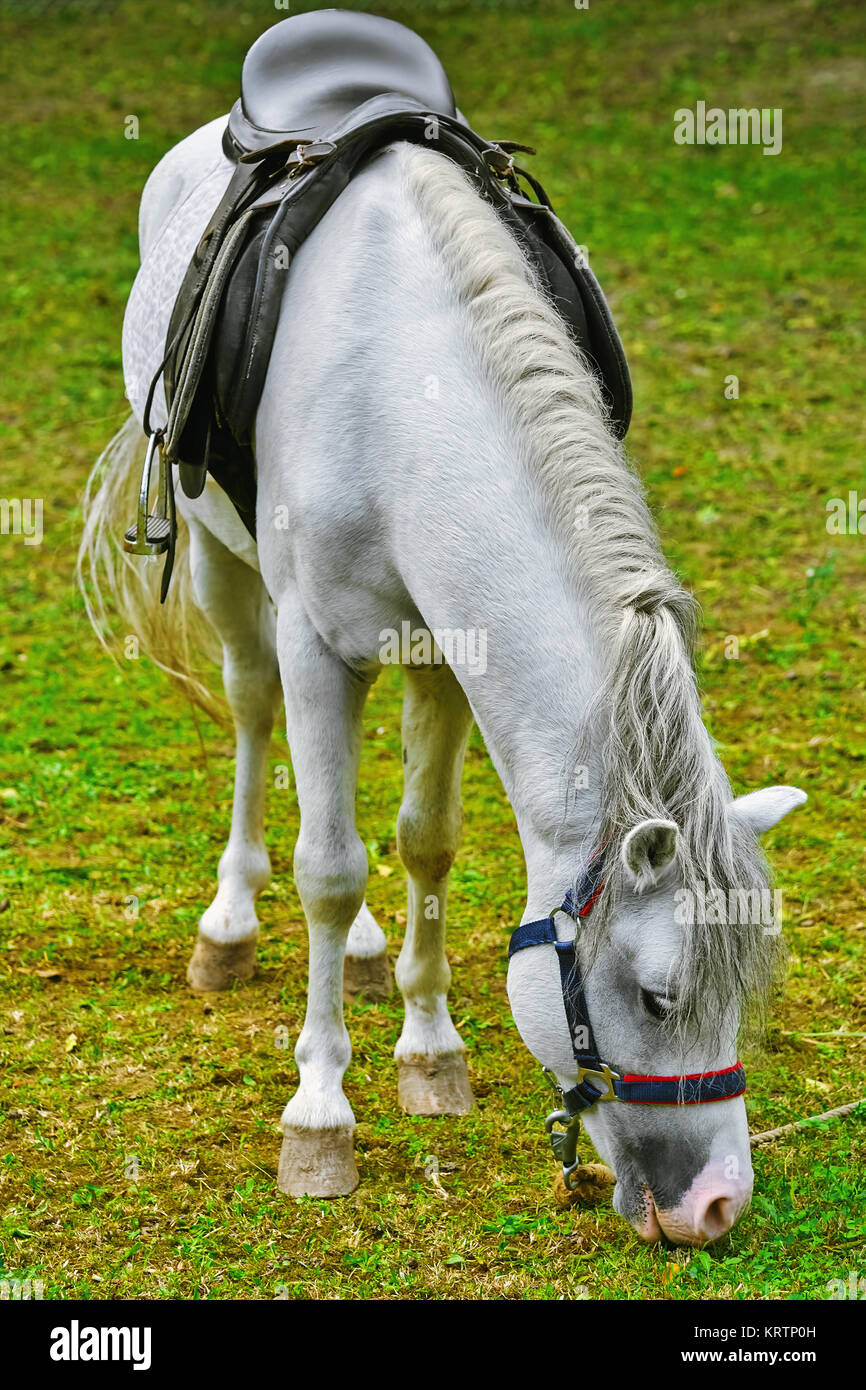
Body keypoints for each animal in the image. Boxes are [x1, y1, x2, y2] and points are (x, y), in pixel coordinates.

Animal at [79, 112, 806, 1246]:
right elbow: (328, 870)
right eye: (655, 997)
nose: (719, 1201)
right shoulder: (314, 645)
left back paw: (368, 955)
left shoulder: (449, 656)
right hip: (218, 562)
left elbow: (426, 843)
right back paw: (230, 921)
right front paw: (319, 1114)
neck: (399, 397)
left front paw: (429, 1049)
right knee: (252, 713)